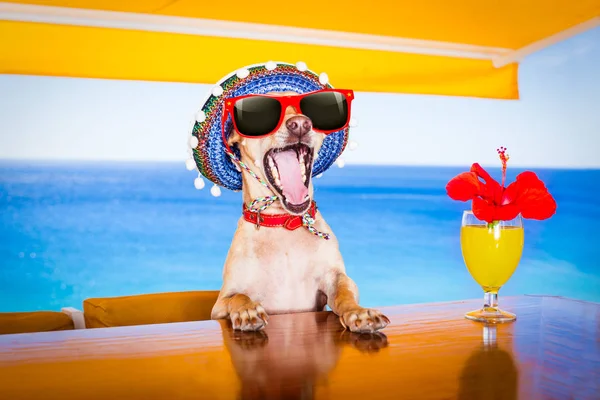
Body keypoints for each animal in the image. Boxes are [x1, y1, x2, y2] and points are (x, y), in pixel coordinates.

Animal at [211, 92, 390, 332]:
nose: (300, 124)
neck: (283, 222)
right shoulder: (220, 303)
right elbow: (238, 296)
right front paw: (247, 310)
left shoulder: (334, 278)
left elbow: (344, 293)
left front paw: (359, 313)